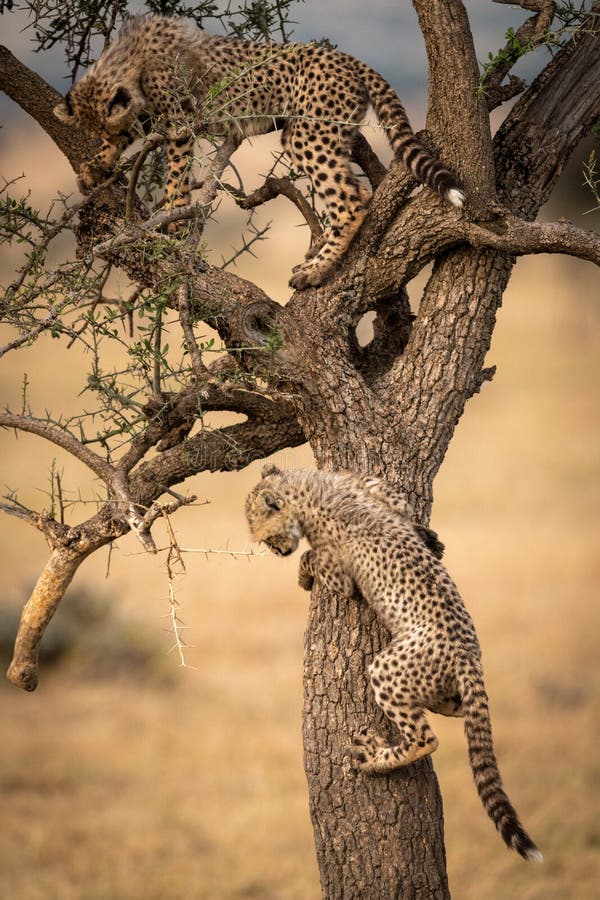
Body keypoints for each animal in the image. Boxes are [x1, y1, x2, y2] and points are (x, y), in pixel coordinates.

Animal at [53, 14, 465, 290]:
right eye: (109, 131)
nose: (128, 131)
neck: (129, 57)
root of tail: (349, 59)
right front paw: (96, 166)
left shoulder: (180, 120)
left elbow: (175, 168)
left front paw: (174, 214)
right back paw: (317, 255)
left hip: (308, 134)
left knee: (352, 200)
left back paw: (317, 269)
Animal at [245, 465, 542, 861]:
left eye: (267, 537)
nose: (277, 551)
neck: (307, 491)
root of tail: (467, 652)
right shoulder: (371, 489)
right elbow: (396, 502)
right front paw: (428, 536)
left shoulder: (339, 570)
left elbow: (316, 560)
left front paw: (302, 572)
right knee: (458, 707)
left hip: (387, 669)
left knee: (425, 739)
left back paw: (374, 756)